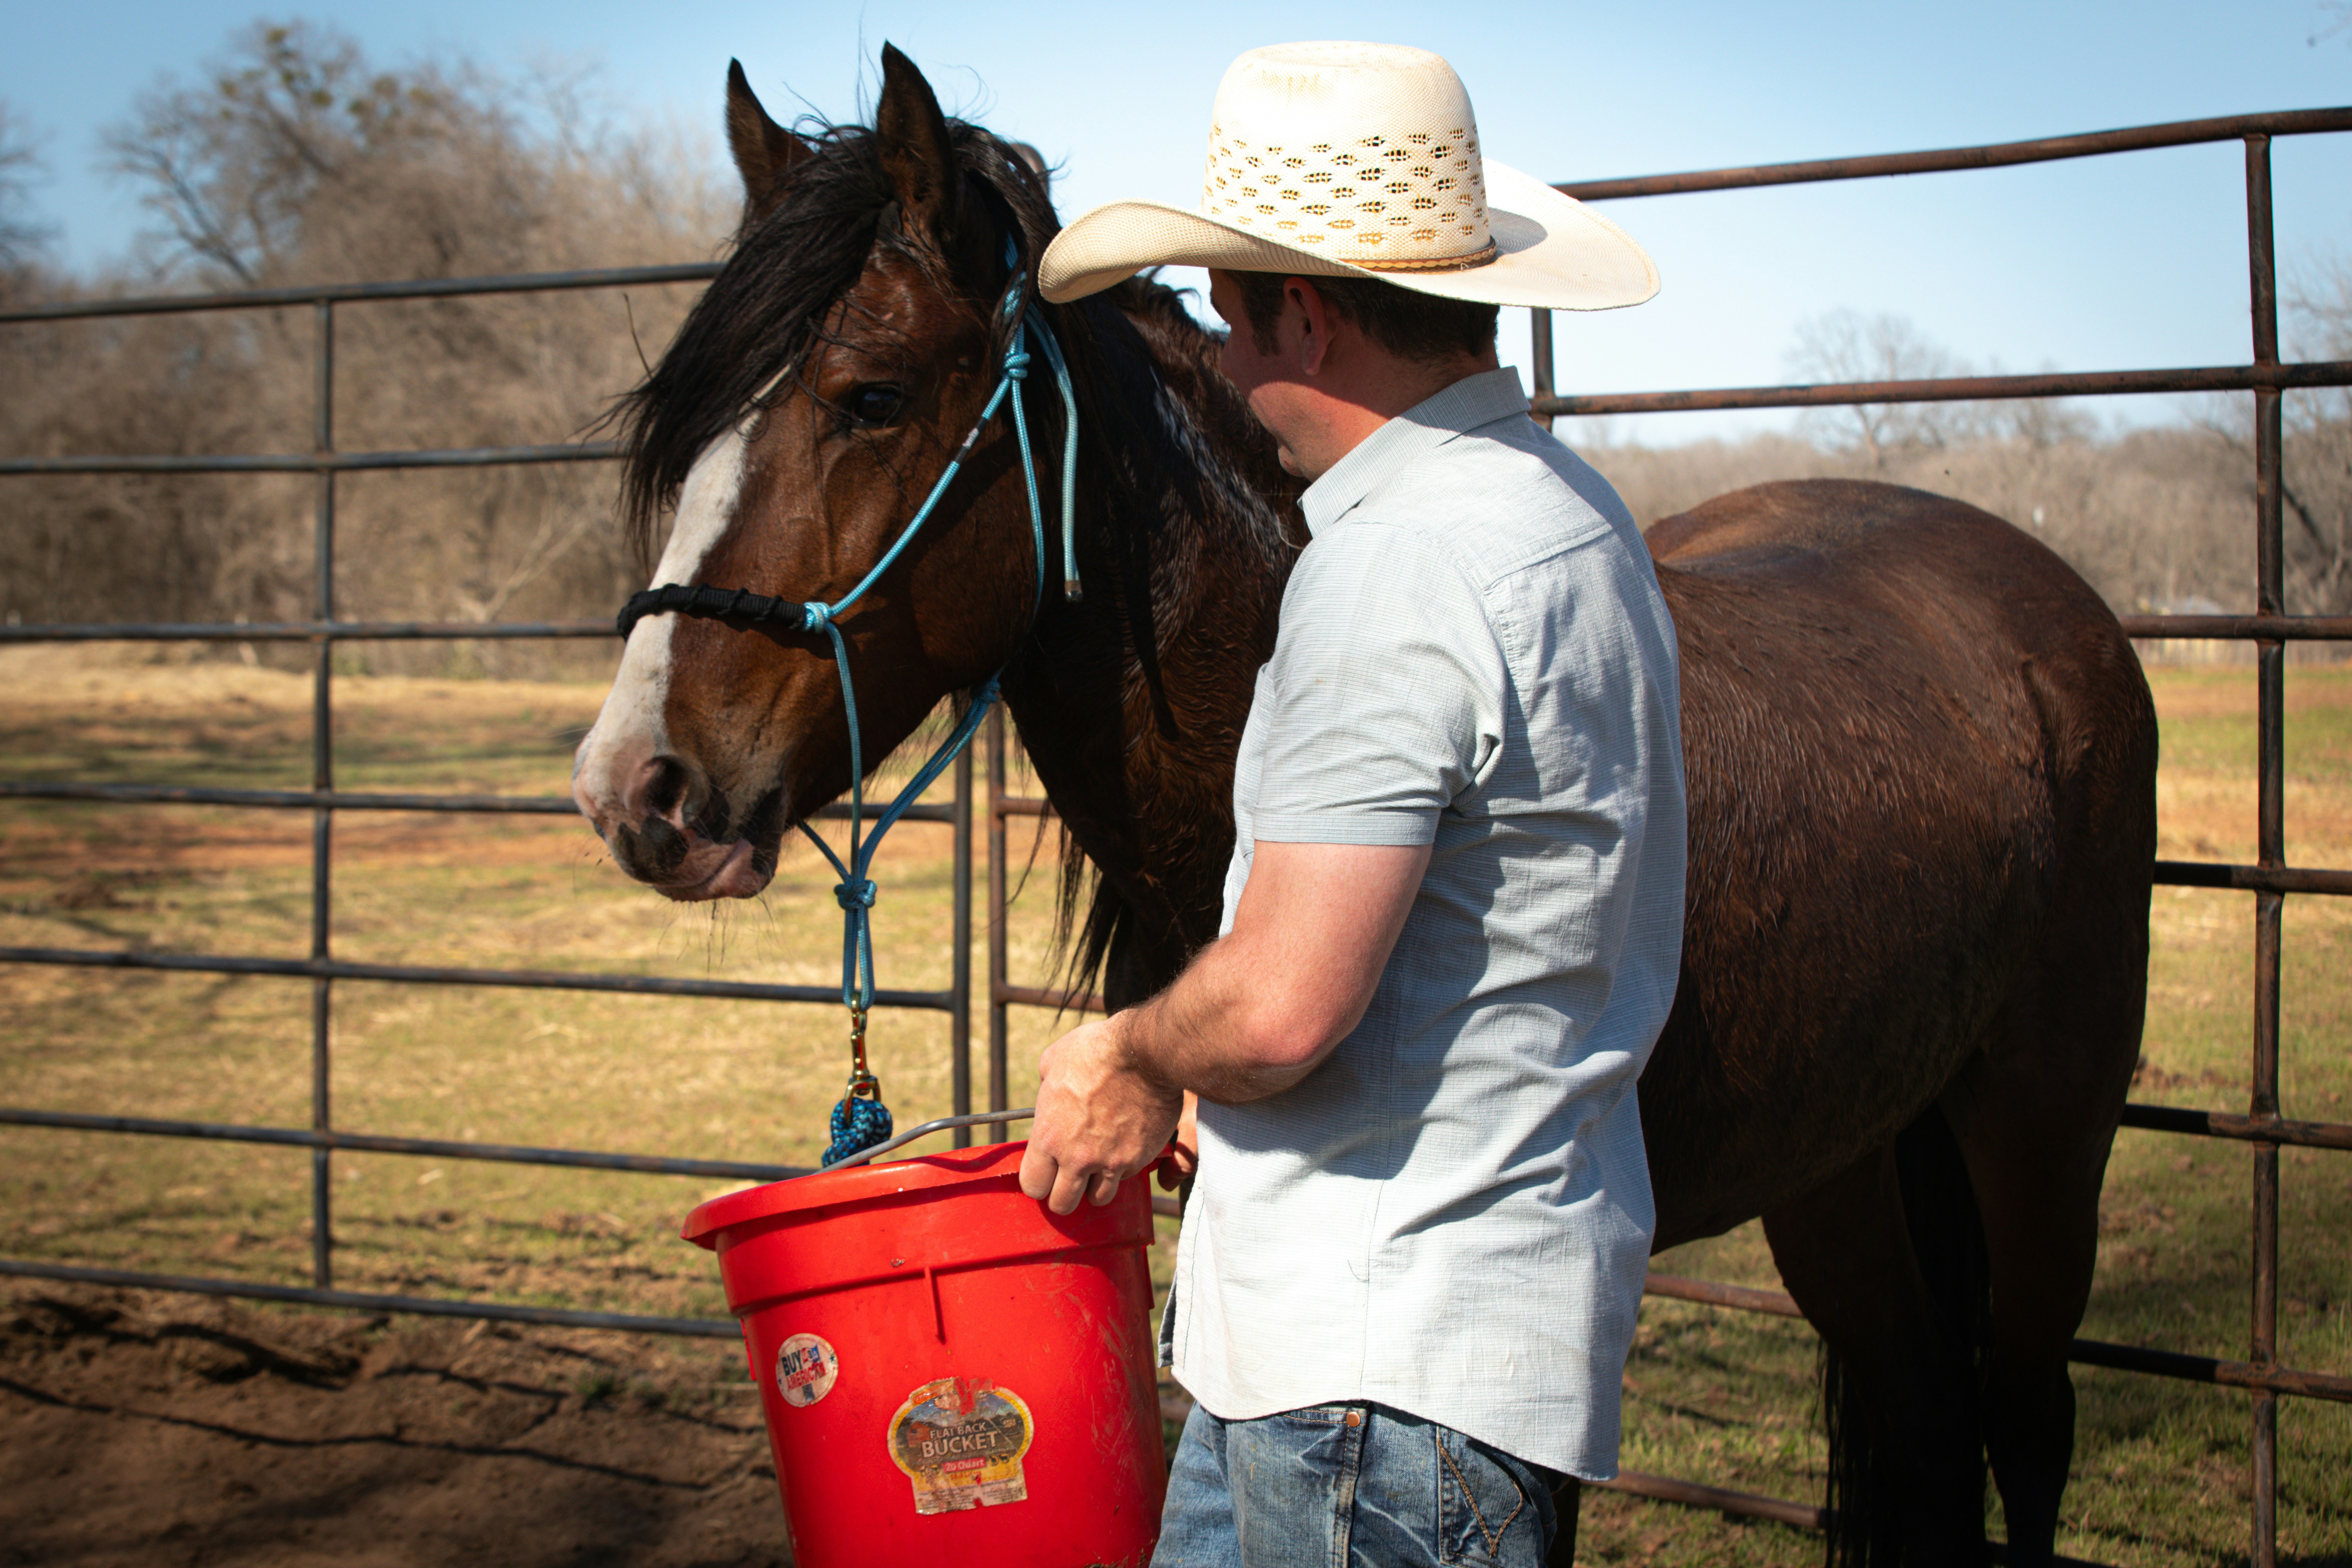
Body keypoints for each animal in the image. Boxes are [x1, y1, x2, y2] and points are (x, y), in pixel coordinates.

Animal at [569, 48, 2158, 1568]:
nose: (633, 786)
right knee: (1921, 1407)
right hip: (1840, 1158)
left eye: (873, 396)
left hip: (2038, 1138)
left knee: (2024, 1422)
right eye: (688, 425)